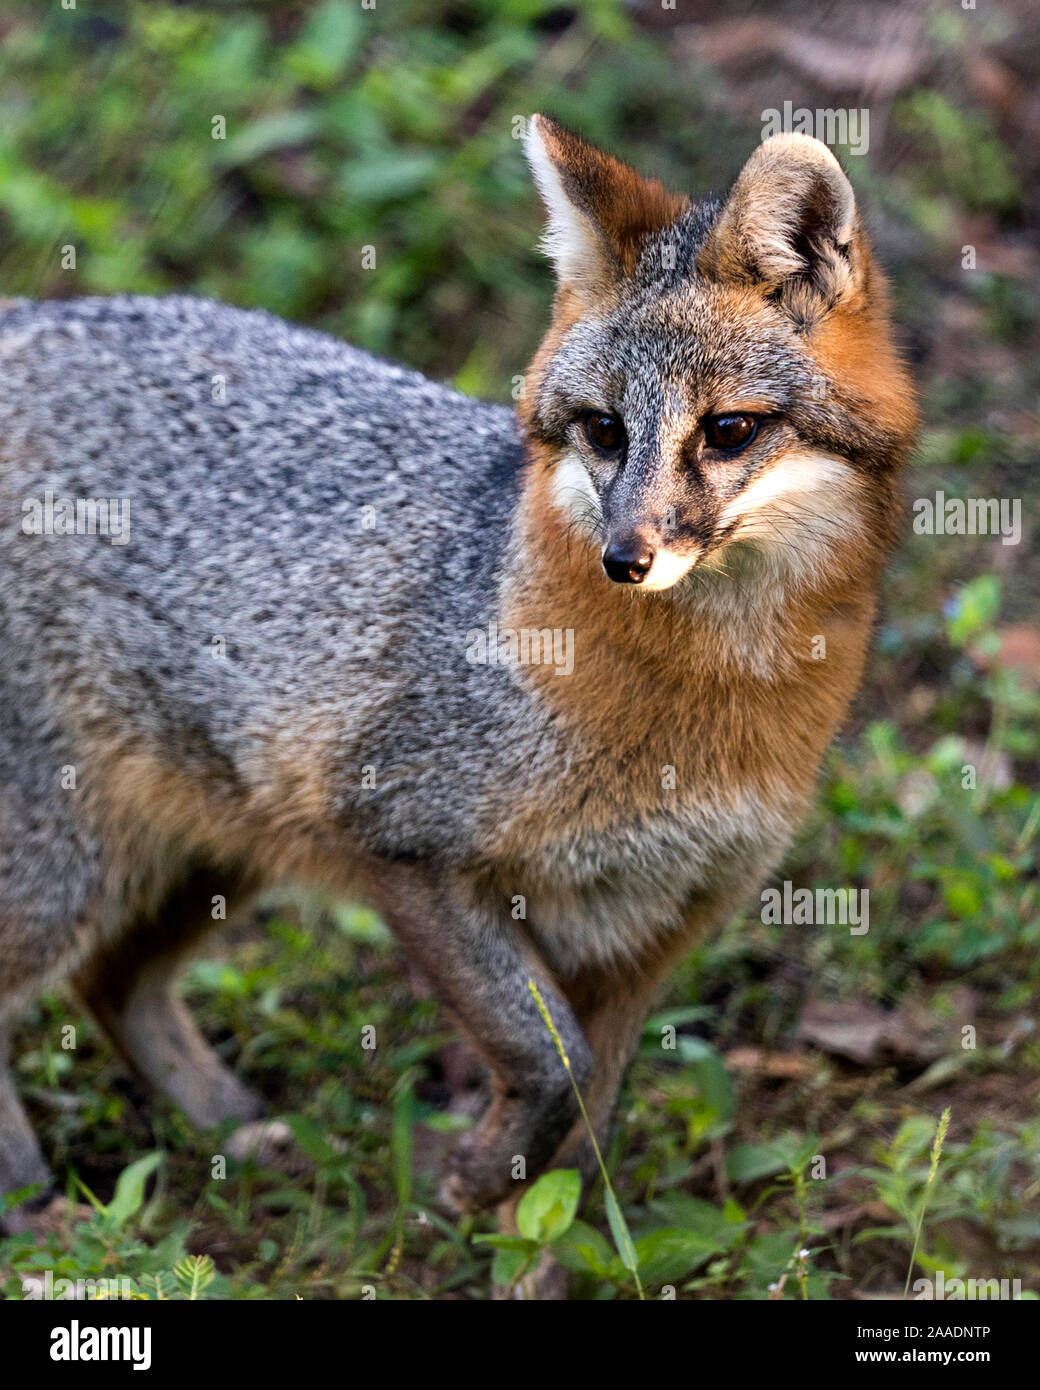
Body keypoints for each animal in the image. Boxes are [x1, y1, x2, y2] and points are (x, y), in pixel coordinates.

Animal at [0, 117, 916, 1255]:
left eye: (729, 431)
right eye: (603, 430)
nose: (625, 557)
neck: (706, 705)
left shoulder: (658, 927)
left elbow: (584, 1134)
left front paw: (528, 1242)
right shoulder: (404, 844)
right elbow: (548, 1055)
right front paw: (477, 1175)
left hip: (199, 852)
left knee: (111, 983)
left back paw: (235, 1133)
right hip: (66, 870)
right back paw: (29, 1202)